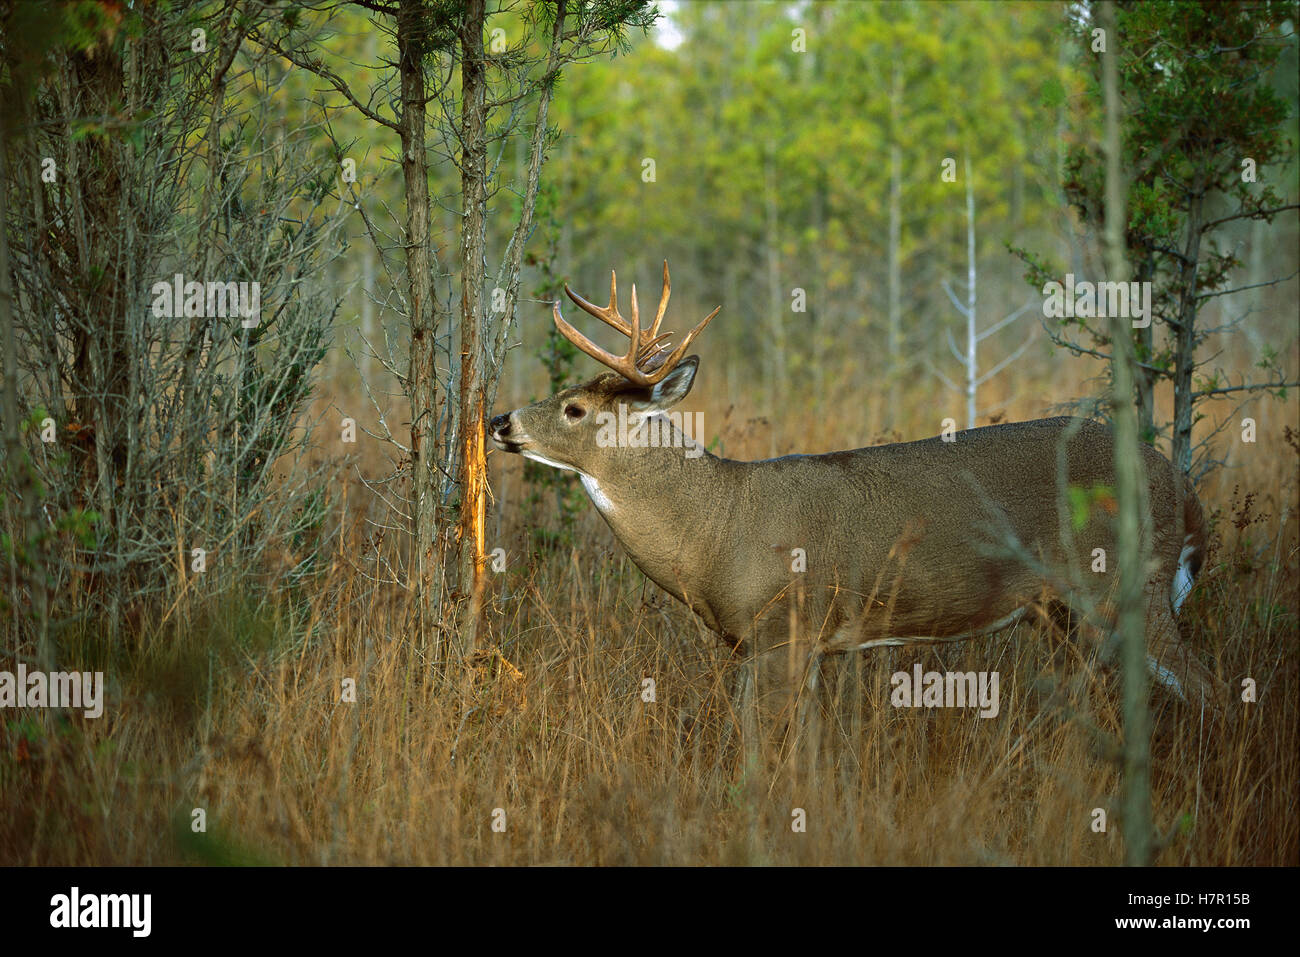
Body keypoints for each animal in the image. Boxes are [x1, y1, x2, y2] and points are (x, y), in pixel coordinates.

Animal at [489, 261, 1222, 740]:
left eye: (573, 407)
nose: (498, 421)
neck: (714, 529)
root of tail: (1180, 485)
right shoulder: (788, 646)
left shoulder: (783, 628)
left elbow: (762, 745)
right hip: (1064, 612)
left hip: (1126, 583)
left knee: (1209, 687)